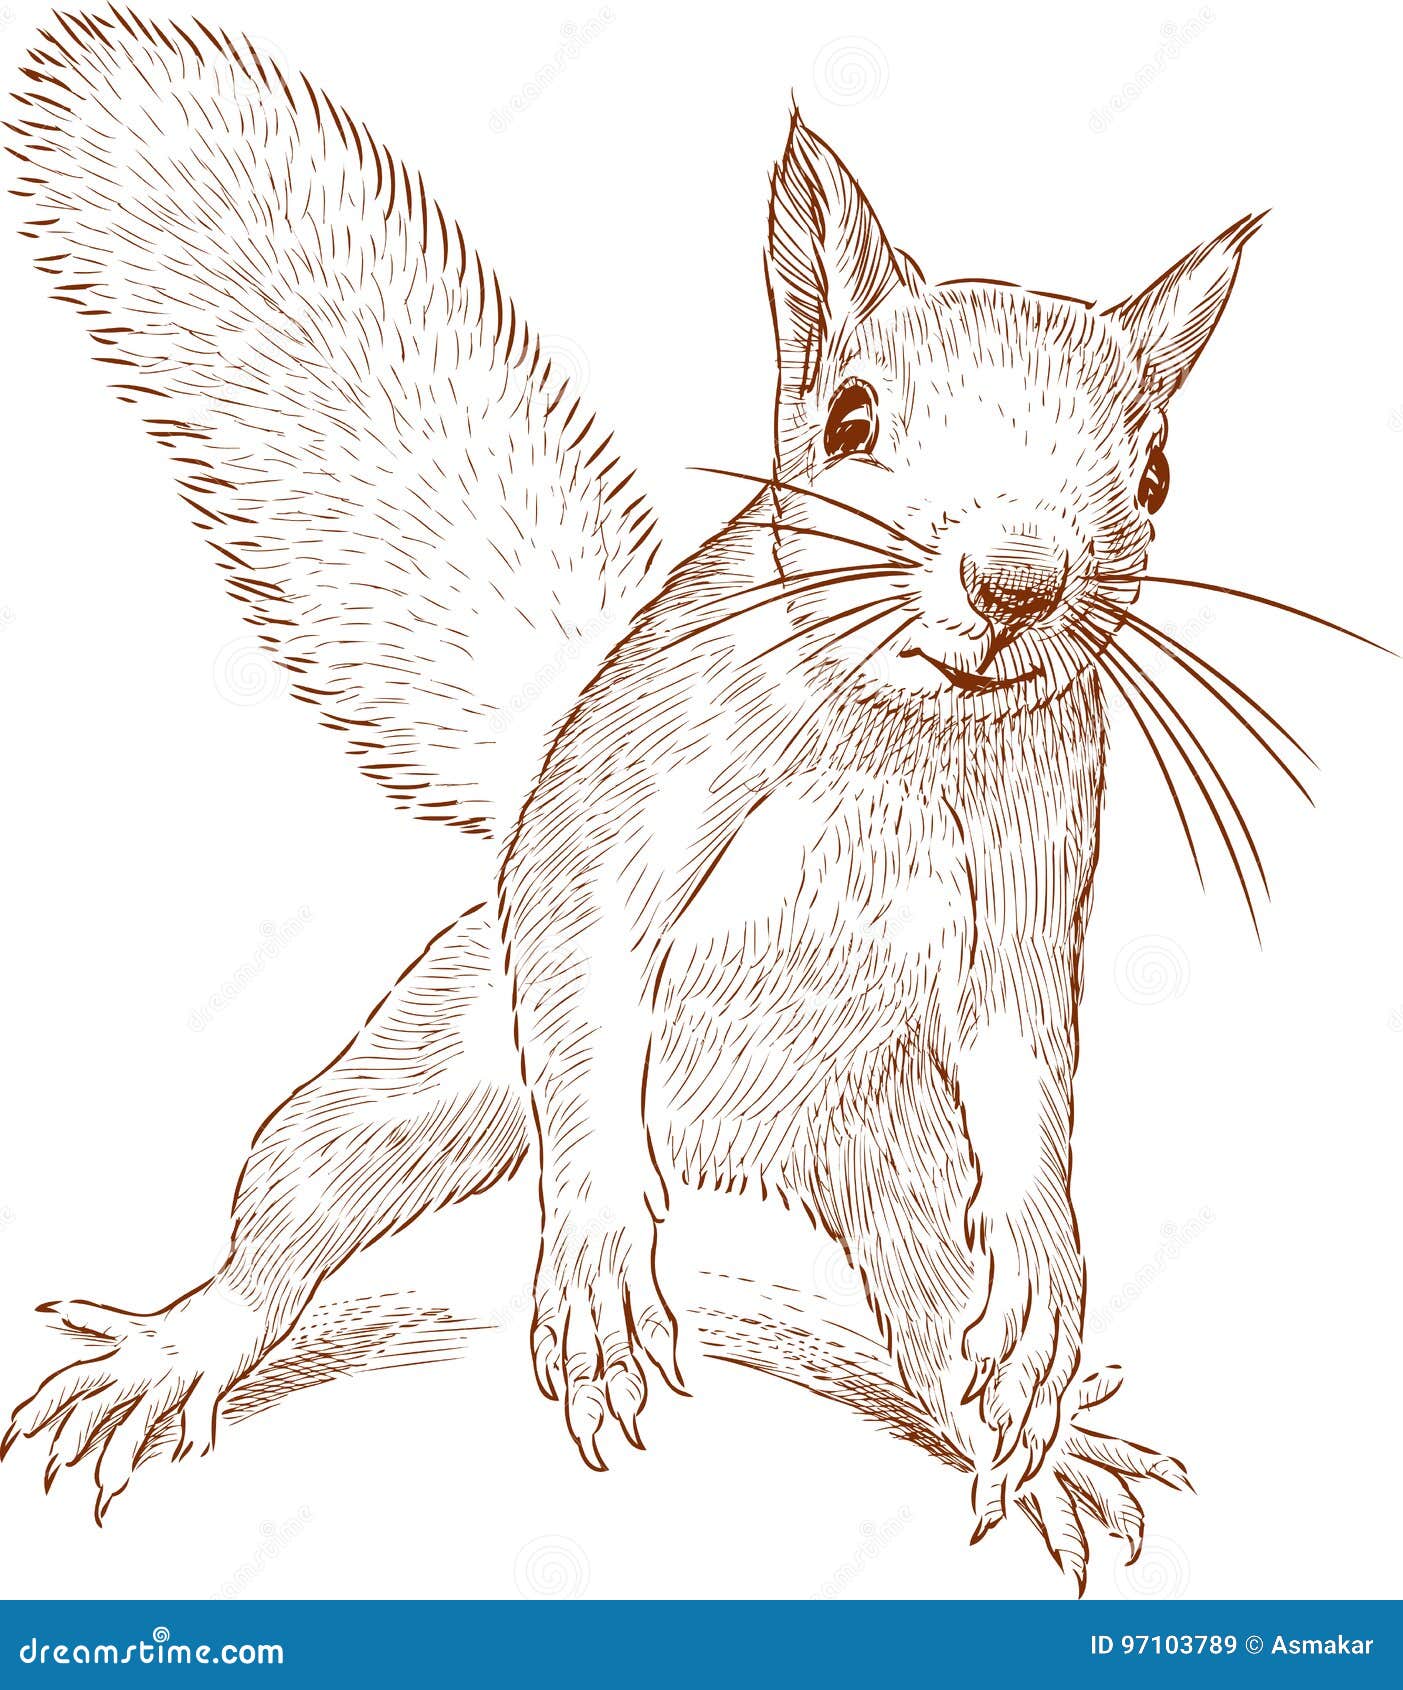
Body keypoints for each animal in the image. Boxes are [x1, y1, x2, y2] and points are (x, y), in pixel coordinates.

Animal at [2, 9, 1264, 1584]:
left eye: (1153, 471)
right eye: (849, 417)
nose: (1018, 582)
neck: (903, 733)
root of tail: (743, 1143)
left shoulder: (1043, 844)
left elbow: (1025, 1041)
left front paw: (1049, 1265)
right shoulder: (636, 768)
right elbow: (583, 908)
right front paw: (602, 1254)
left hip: (901, 1153)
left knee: (941, 1337)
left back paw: (1034, 1444)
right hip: (451, 1054)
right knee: (302, 1192)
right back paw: (183, 1347)